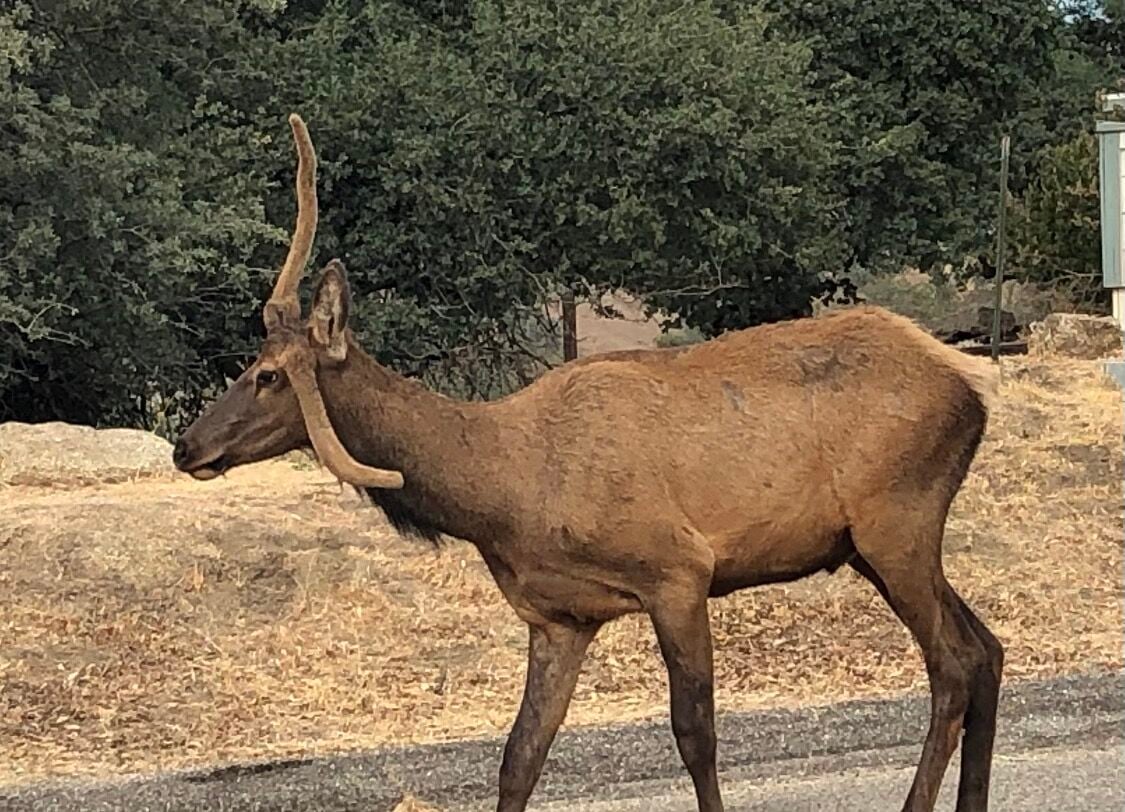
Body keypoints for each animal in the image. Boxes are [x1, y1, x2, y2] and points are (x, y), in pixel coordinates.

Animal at [173, 114, 1005, 812]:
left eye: (268, 374)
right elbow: (518, 758)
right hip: (874, 542)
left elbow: (695, 736)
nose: (187, 445)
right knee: (986, 649)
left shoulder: (678, 572)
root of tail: (970, 389)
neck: (504, 493)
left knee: (952, 664)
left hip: (895, 520)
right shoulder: (559, 617)